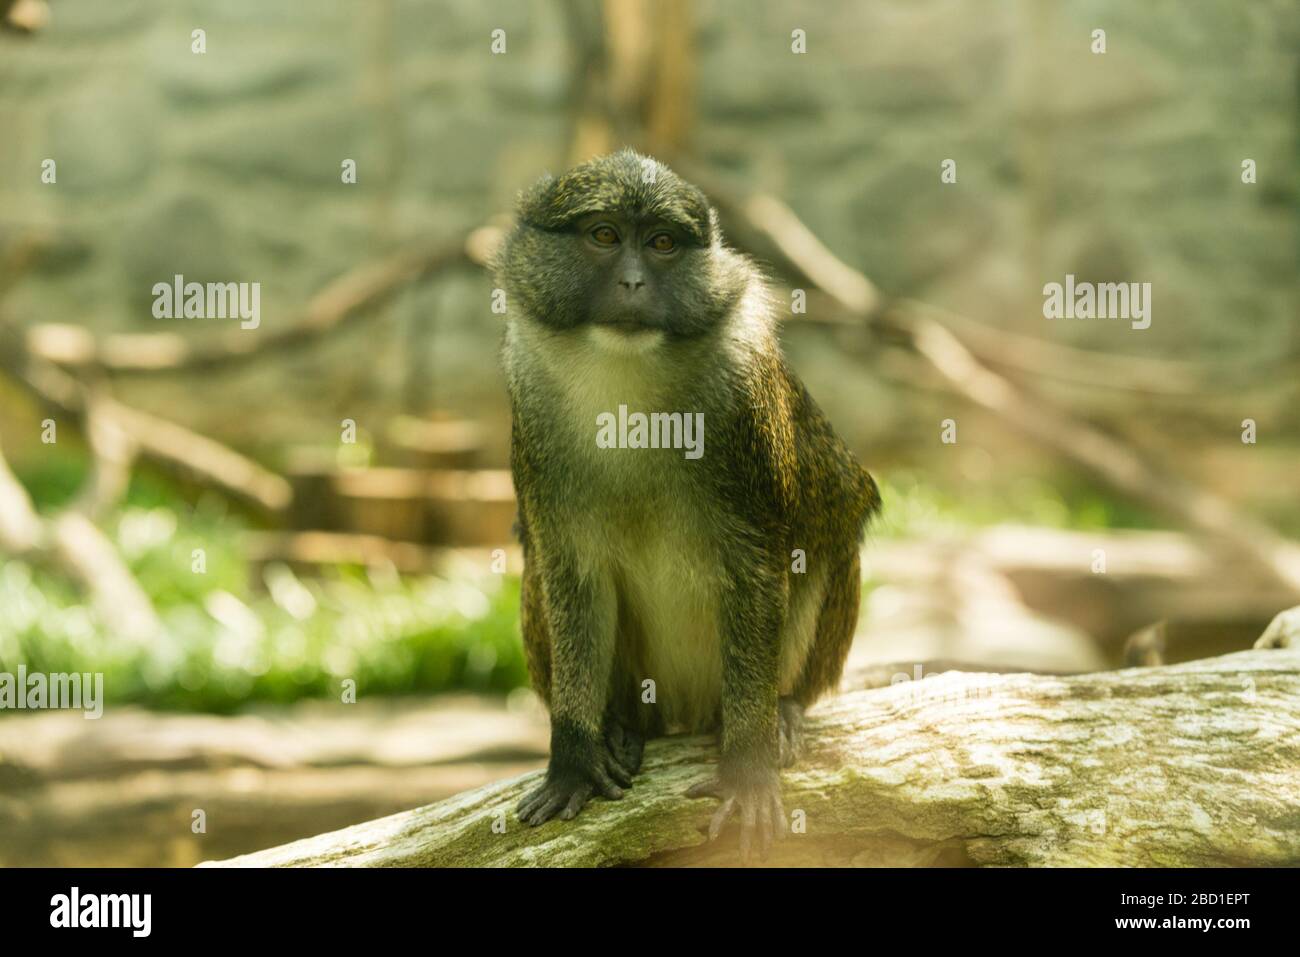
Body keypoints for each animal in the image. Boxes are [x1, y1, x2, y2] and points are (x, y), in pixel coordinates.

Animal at [493, 149, 881, 861]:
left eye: (663, 244)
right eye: (604, 235)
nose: (634, 283)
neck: (625, 388)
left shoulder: (743, 399)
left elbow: (760, 566)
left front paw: (749, 768)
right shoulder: (531, 397)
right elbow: (571, 574)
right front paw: (574, 758)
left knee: (826, 545)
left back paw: (783, 710)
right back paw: (619, 728)